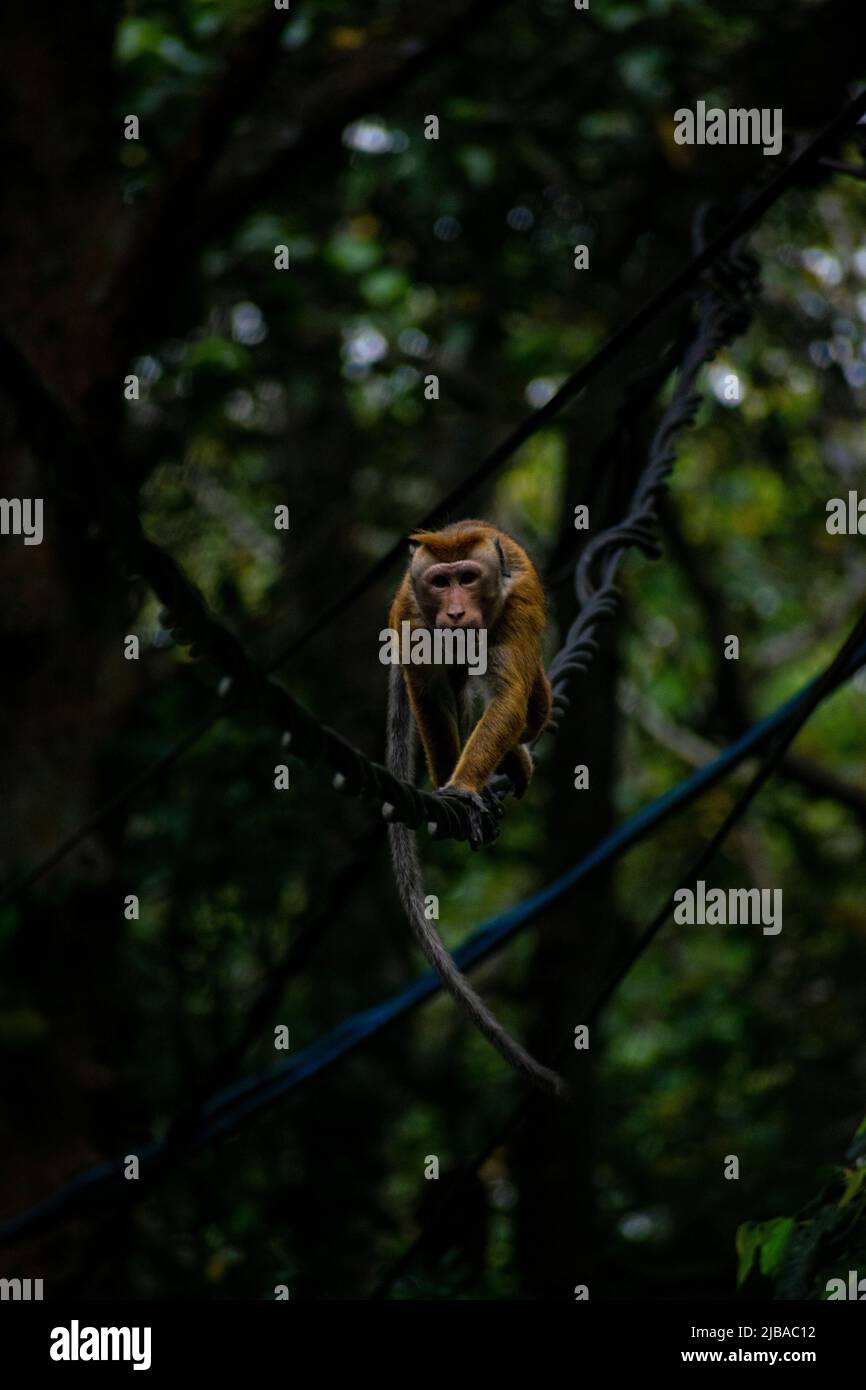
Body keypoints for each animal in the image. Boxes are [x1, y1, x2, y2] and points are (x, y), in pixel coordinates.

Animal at [385, 519, 567, 1098]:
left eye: (468, 578)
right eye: (441, 583)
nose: (456, 612)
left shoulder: (519, 608)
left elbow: (507, 697)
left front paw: (466, 783)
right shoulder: (411, 614)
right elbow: (428, 693)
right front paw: (454, 786)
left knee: (530, 701)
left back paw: (514, 751)